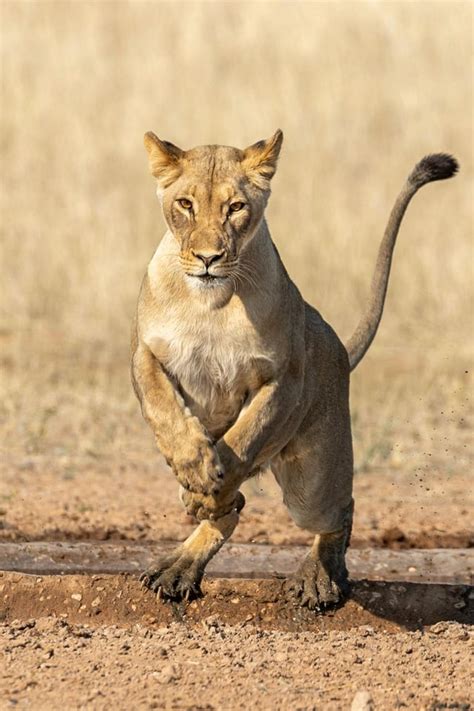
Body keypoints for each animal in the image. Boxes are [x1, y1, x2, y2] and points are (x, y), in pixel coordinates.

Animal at [131, 130, 458, 609]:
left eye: (236, 207)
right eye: (186, 204)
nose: (209, 258)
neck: (211, 302)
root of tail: (338, 345)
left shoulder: (284, 379)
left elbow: (244, 438)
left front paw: (211, 479)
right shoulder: (145, 353)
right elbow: (165, 411)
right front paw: (196, 469)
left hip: (312, 482)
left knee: (337, 512)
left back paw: (318, 578)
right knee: (235, 510)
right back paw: (179, 565)